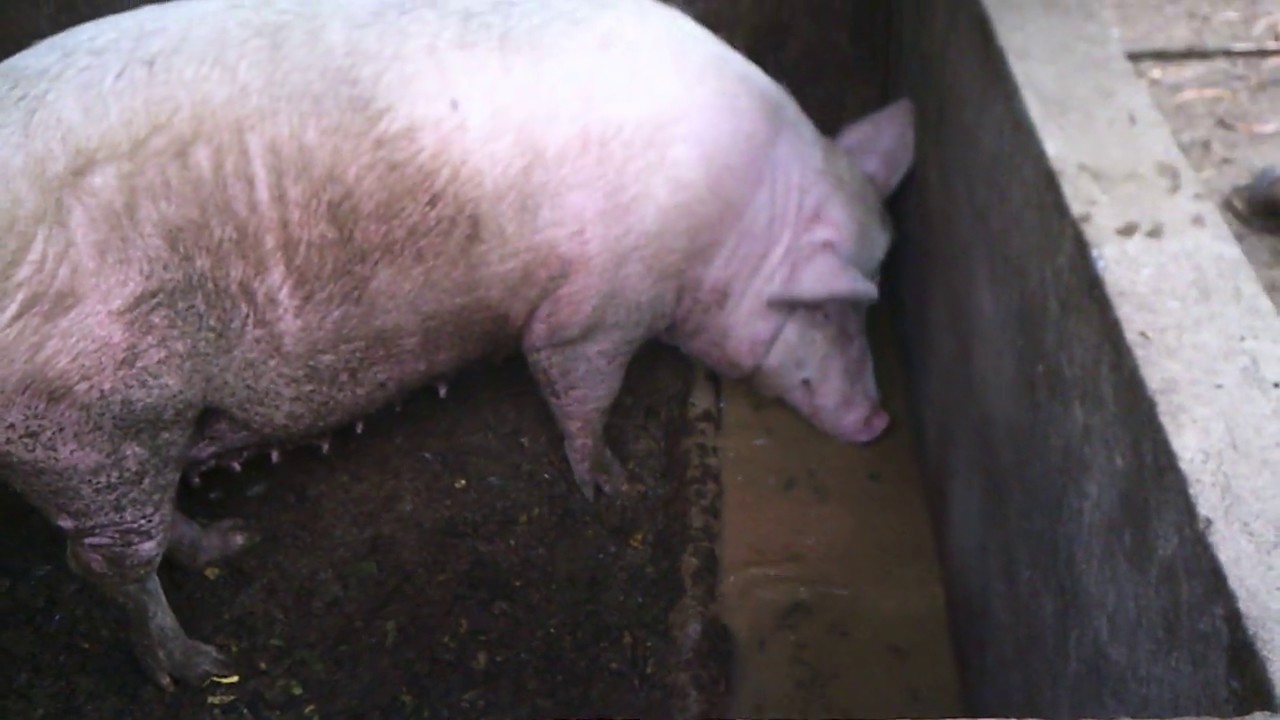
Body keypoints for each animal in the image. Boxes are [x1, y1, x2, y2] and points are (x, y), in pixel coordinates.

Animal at [0, 0, 915, 689]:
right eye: (830, 310)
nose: (879, 423)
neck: (730, 221)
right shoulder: (597, 306)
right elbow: (577, 387)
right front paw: (613, 488)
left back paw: (233, 543)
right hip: (98, 424)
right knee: (105, 564)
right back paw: (202, 666)